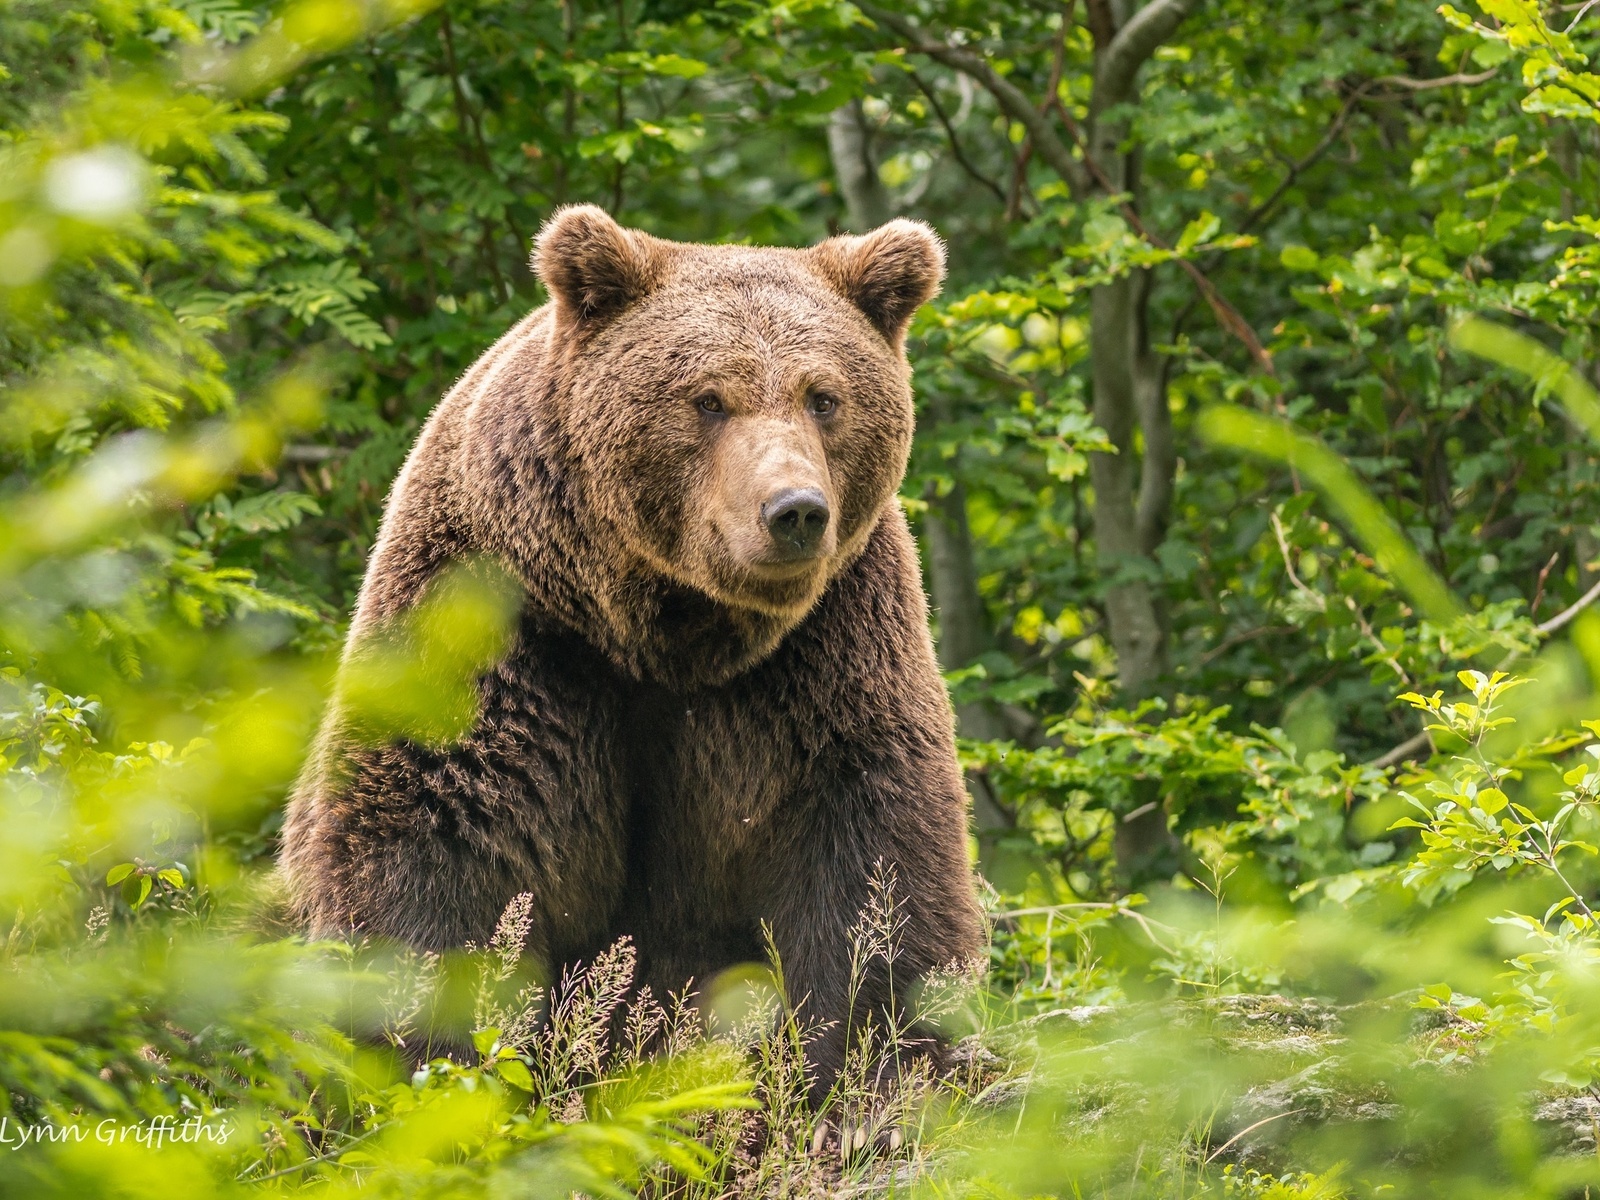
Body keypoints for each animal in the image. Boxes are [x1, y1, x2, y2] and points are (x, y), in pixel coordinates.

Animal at [279, 204, 983, 1098]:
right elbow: (441, 839)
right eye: (709, 398)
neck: (667, 630)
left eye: (824, 396)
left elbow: (872, 869)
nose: (794, 511)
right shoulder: (508, 631)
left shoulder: (830, 656)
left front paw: (866, 1073)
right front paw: (423, 1054)